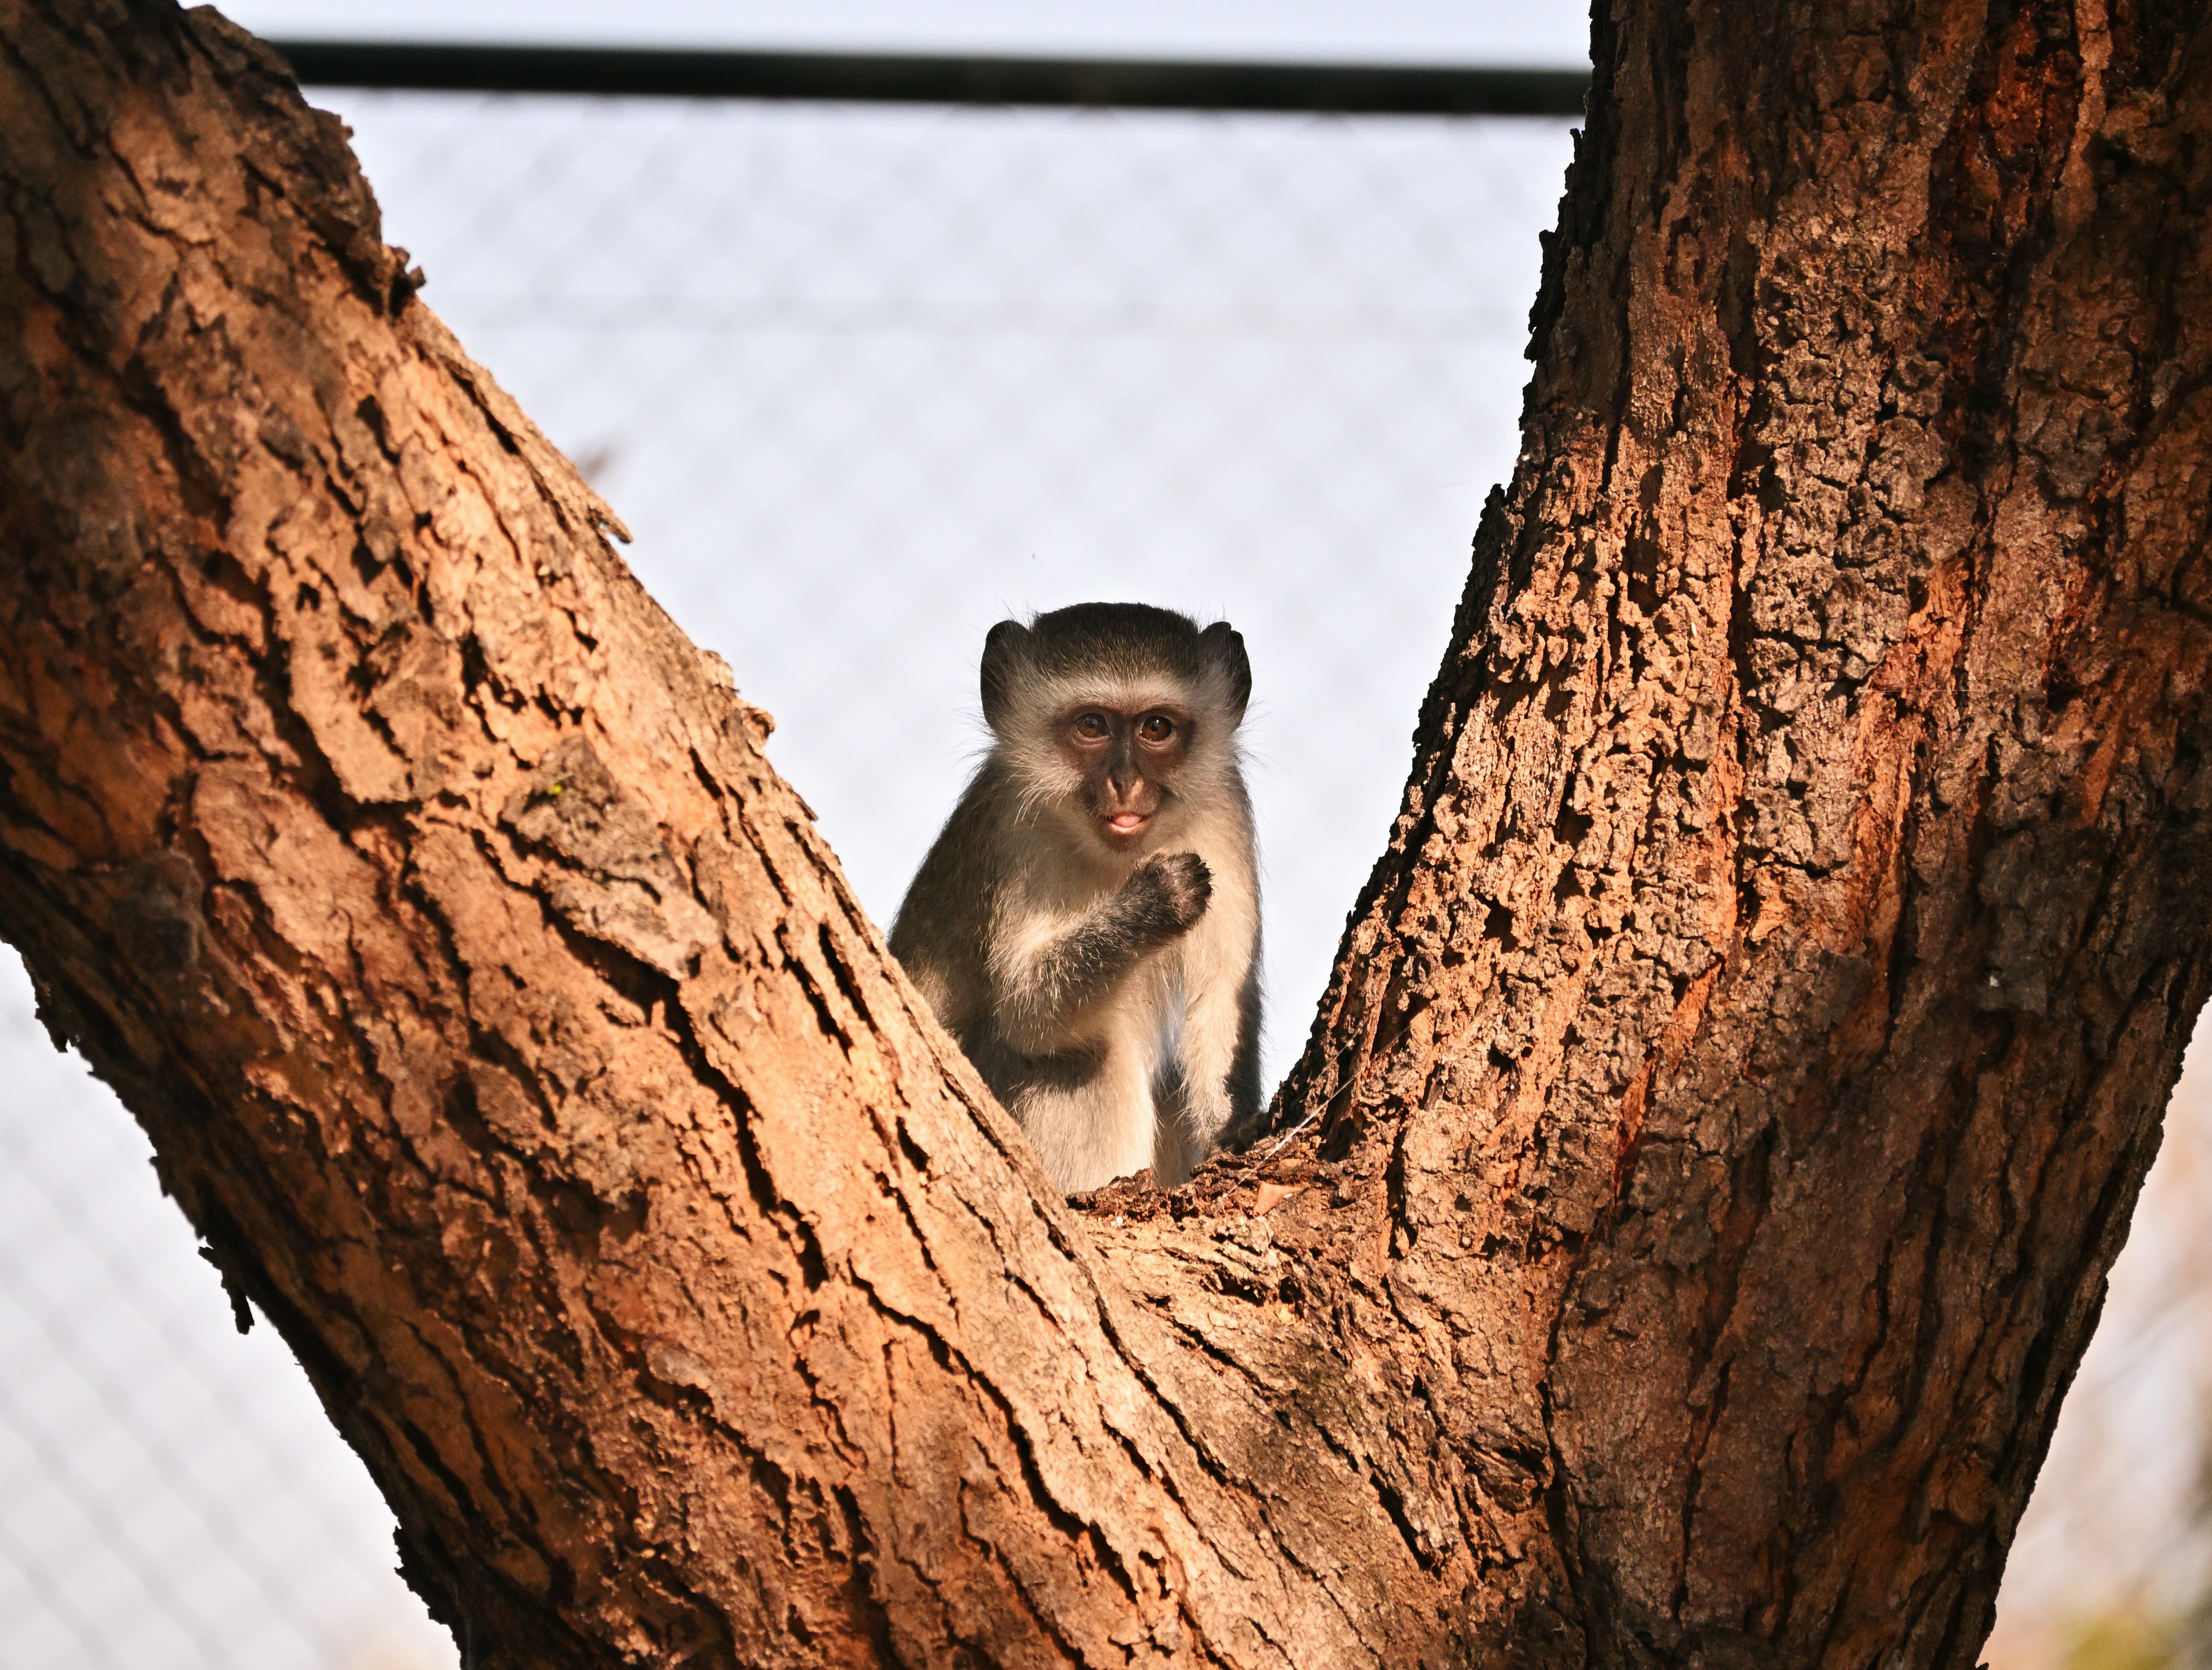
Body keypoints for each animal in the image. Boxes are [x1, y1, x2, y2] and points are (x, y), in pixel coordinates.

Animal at [890, 602, 1262, 1193]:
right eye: (1092, 726)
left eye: (1156, 728)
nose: (1125, 784)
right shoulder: (1012, 826)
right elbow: (1026, 1012)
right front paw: (1155, 903)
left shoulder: (1224, 814)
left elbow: (1220, 999)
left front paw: (1234, 1139)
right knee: (1084, 1055)